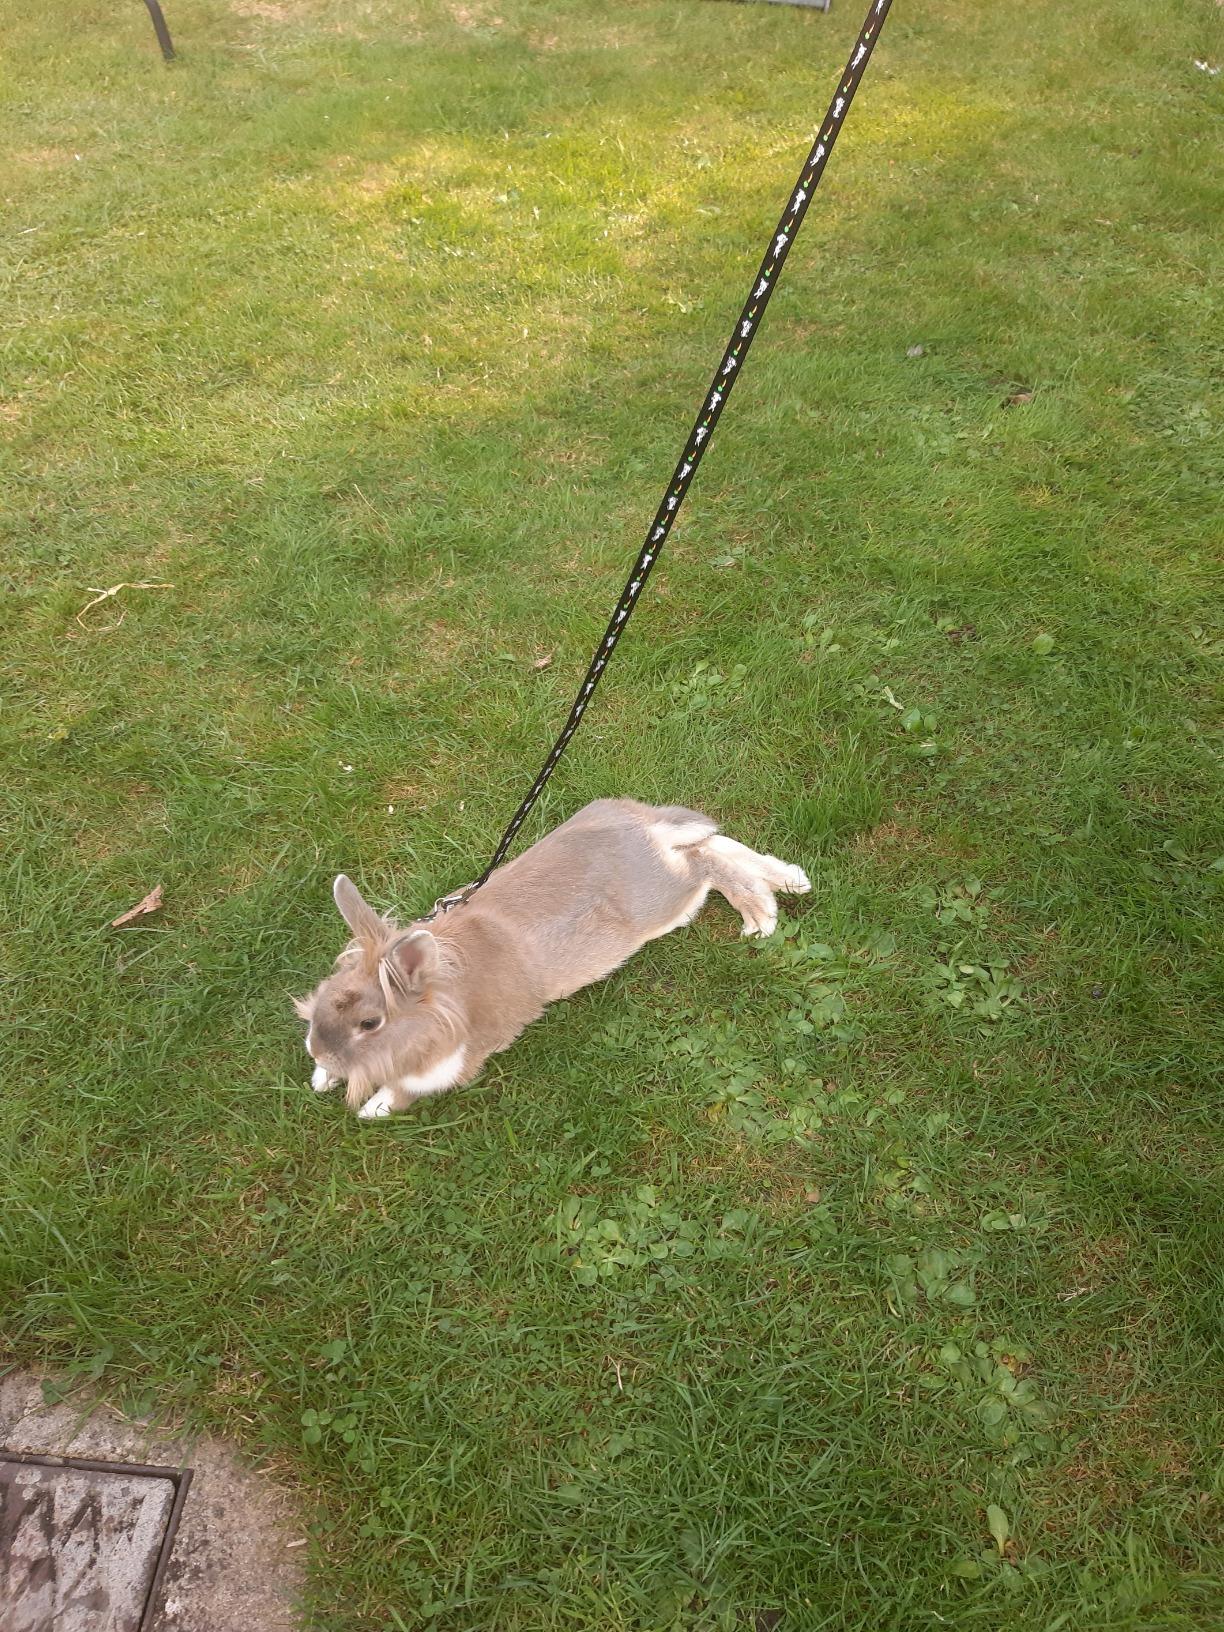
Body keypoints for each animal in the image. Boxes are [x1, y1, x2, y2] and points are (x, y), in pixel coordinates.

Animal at [295, 798, 810, 1118]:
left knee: (706, 862)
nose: (317, 1052)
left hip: (669, 900)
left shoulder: (461, 1059)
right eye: (321, 997)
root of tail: (645, 827)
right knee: (711, 844)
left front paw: (373, 1108)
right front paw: (323, 1079)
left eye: (370, 1023)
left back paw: (761, 910)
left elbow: (410, 1087)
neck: (445, 991)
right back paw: (790, 879)